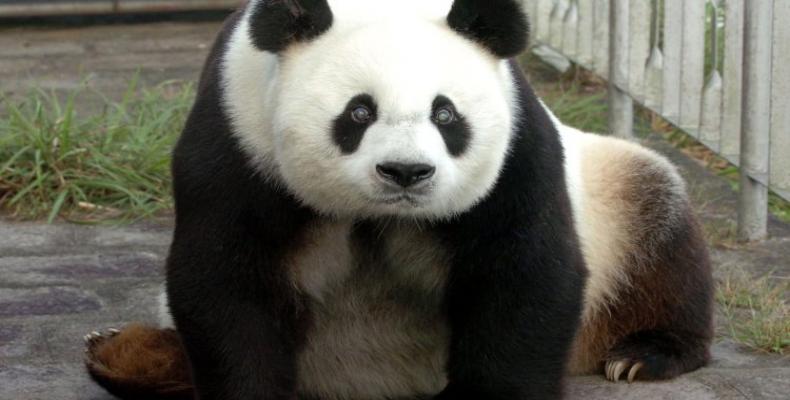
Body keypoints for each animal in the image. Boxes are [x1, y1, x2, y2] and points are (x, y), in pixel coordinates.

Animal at [84, 0, 713, 399]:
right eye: (359, 112)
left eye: (446, 114)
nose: (406, 172)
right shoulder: (237, 138)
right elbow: (227, 280)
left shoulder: (516, 149)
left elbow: (524, 272)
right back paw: (122, 353)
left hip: (615, 195)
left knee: (660, 219)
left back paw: (642, 354)